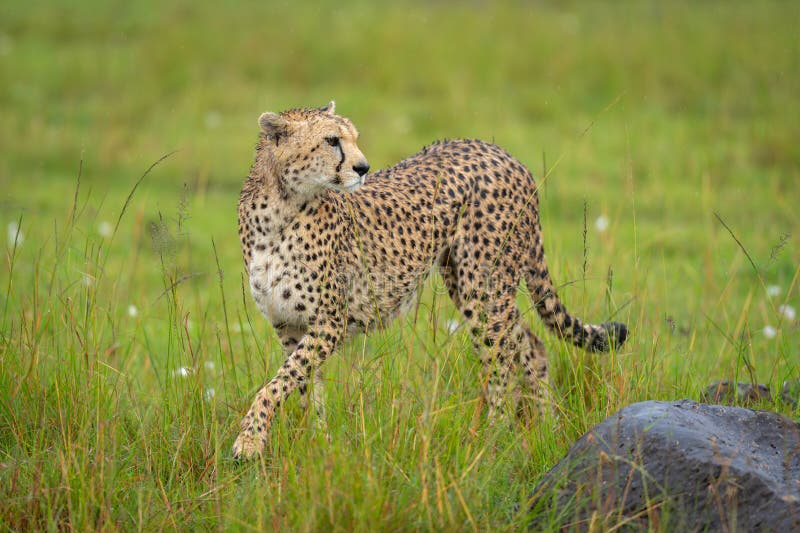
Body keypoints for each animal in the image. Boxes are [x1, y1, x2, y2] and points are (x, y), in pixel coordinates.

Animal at [233, 101, 627, 459]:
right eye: (331, 140)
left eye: (353, 138)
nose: (363, 167)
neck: (280, 207)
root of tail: (500, 152)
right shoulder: (289, 325)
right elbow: (301, 386)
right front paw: (318, 444)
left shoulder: (328, 322)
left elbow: (277, 384)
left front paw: (249, 441)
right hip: (473, 284)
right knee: (530, 343)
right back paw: (546, 426)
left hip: (483, 289)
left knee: (500, 360)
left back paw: (493, 439)